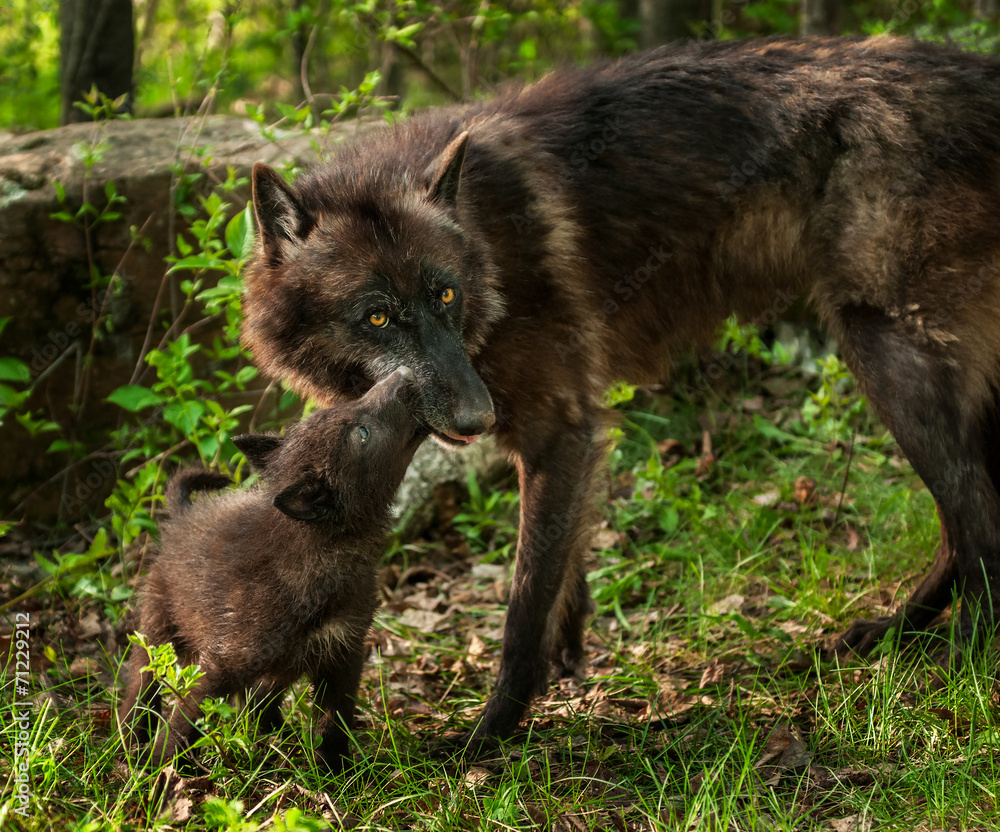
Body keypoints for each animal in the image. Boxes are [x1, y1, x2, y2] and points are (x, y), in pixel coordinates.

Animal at [118, 367, 421, 771]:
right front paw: (159, 771)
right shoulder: (226, 660)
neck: (319, 551)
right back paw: (129, 743)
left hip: (282, 662)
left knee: (257, 702)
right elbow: (185, 718)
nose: (404, 374)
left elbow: (335, 718)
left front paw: (335, 772)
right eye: (362, 433)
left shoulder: (344, 649)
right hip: (158, 627)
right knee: (142, 685)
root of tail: (182, 517)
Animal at [242, 36, 1000, 747]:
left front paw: (492, 734)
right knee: (959, 523)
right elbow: (565, 571)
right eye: (377, 316)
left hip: (886, 356)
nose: (478, 416)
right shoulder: (572, 440)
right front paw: (568, 663)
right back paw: (896, 632)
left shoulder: (558, 430)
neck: (489, 238)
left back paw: (961, 662)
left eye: (445, 295)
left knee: (975, 519)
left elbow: (525, 603)